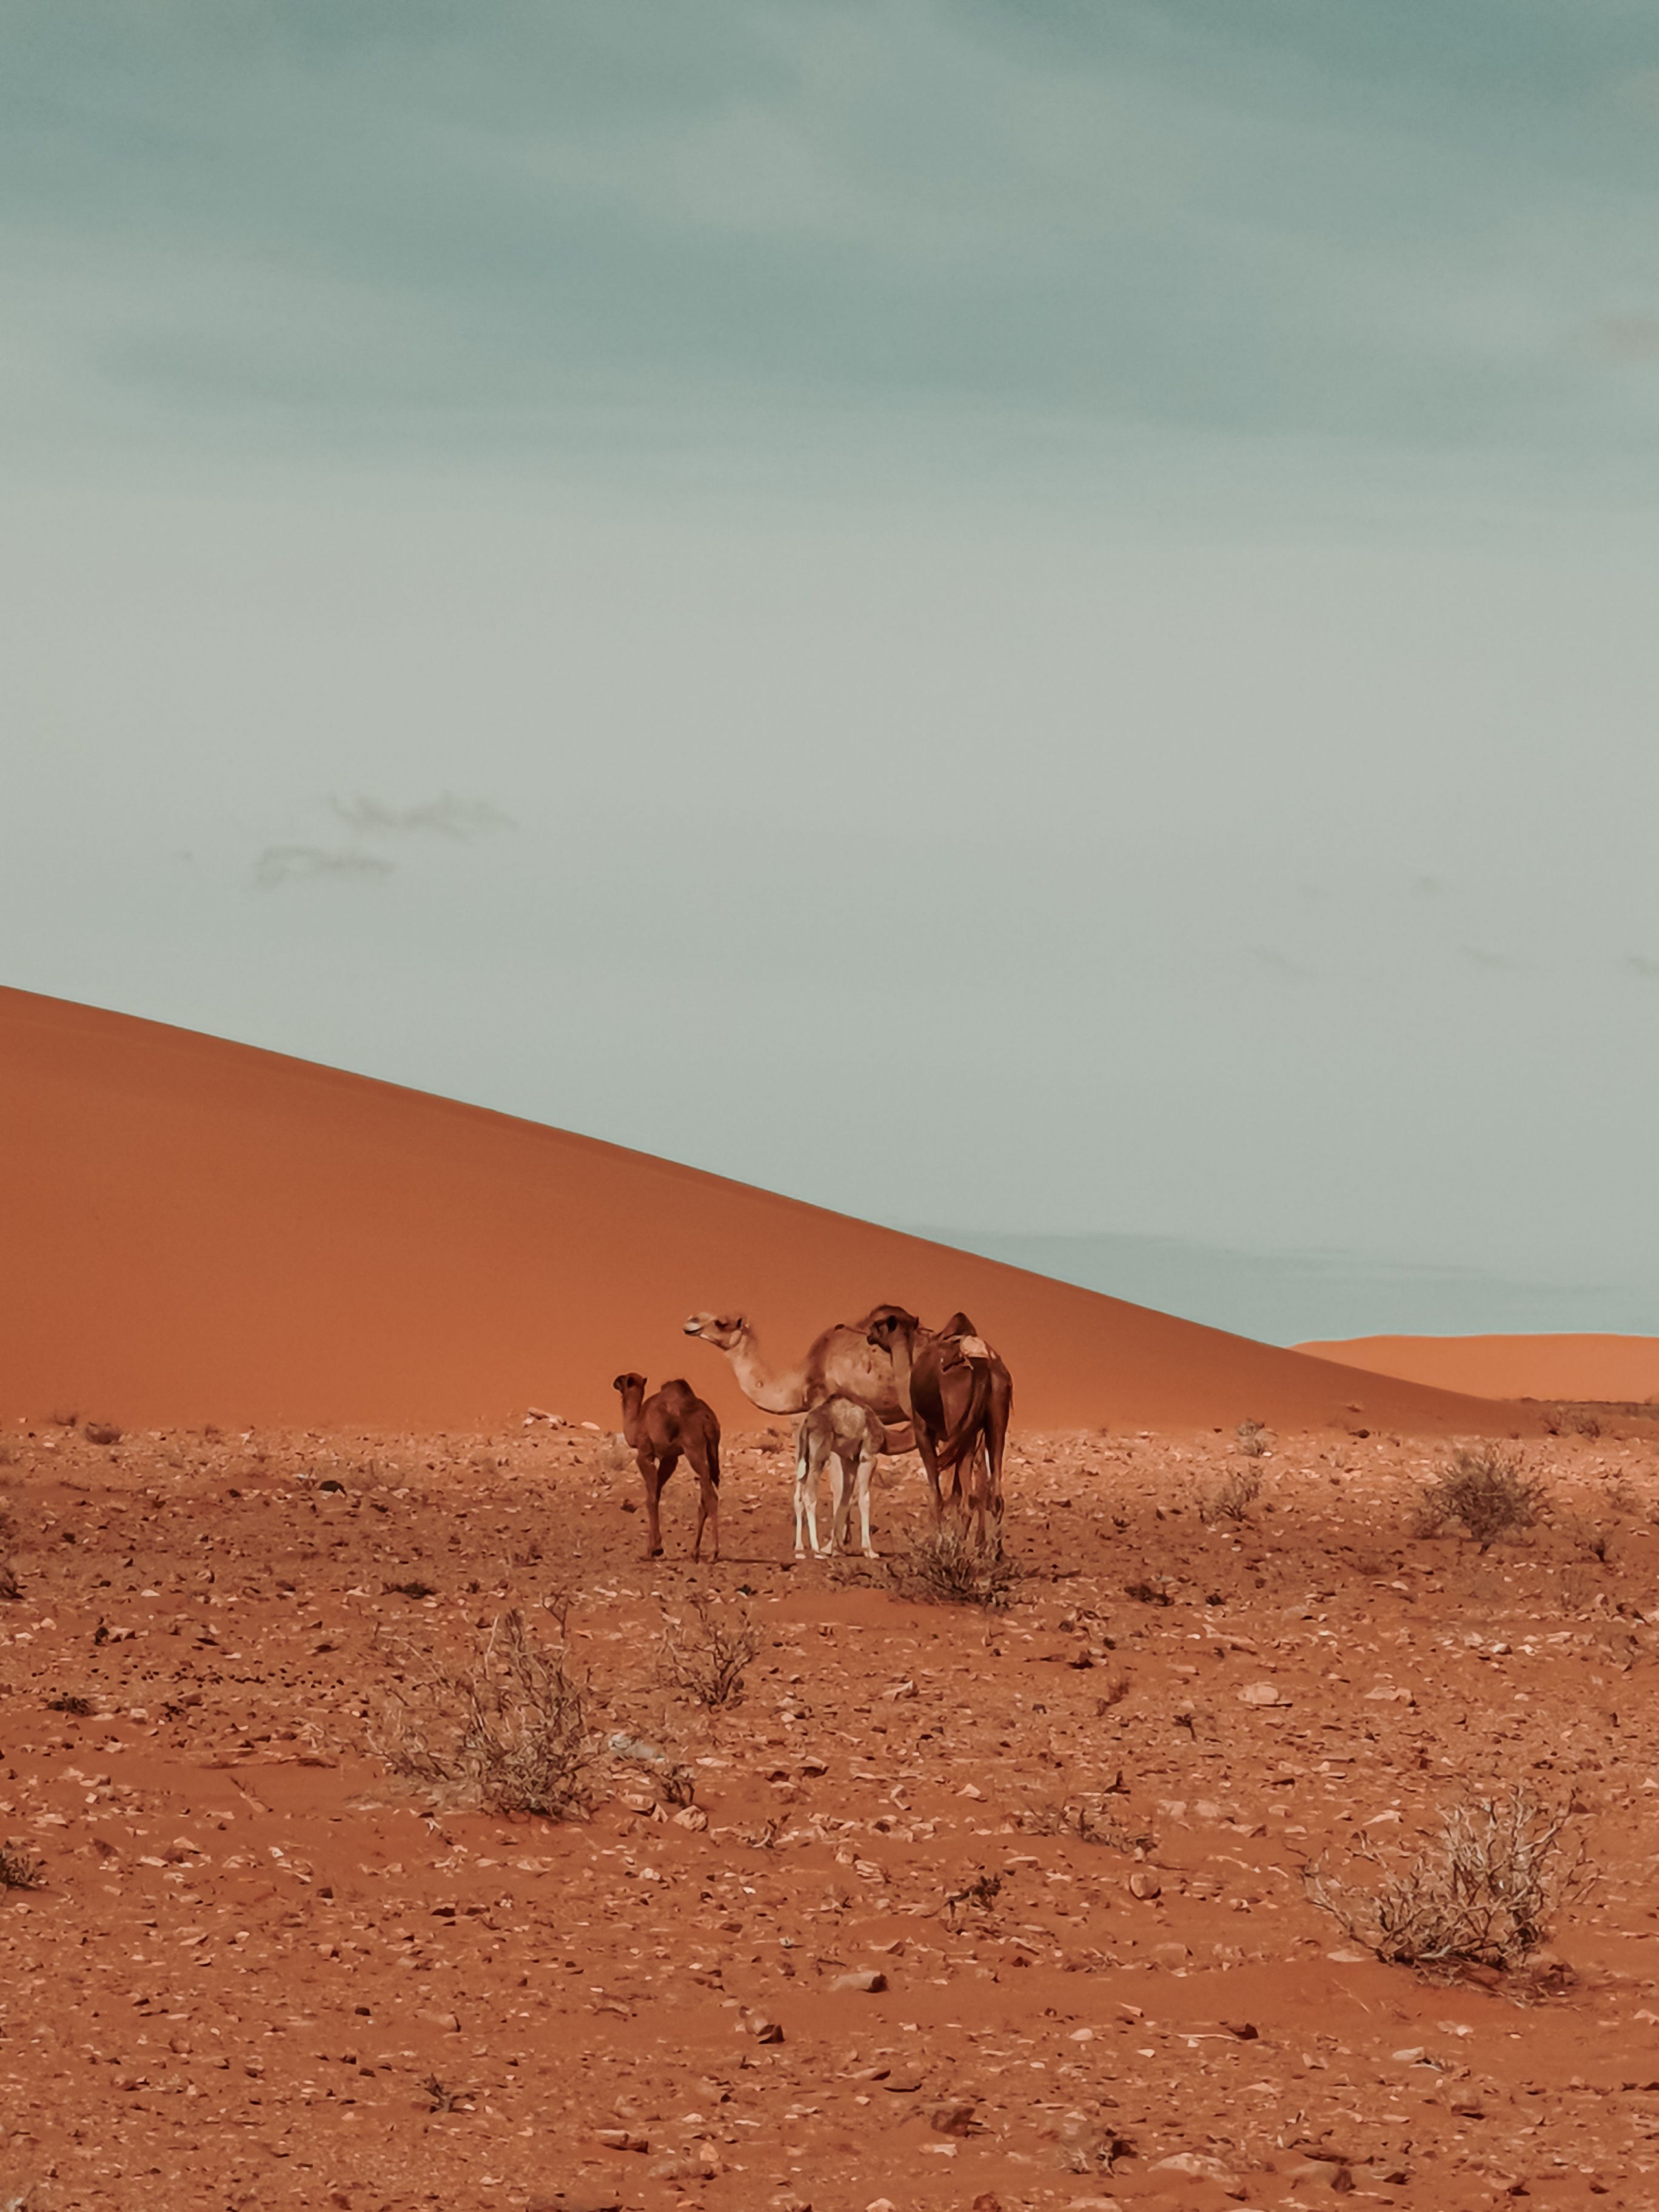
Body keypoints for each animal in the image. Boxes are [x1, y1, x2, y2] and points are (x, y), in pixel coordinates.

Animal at [612, 1373, 721, 1563]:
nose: (614, 1382)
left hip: (694, 1449)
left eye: (623, 1379)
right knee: (704, 1496)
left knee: (711, 1497)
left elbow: (650, 1499)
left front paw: (653, 1551)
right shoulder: (670, 1458)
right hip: (711, 1449)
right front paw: (654, 1548)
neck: (637, 1422)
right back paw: (695, 1552)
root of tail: (708, 1420)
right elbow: (656, 1494)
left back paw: (714, 1553)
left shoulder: (645, 1453)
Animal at [793, 1395, 887, 1561]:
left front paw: (837, 1548)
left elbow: (845, 1498)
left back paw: (799, 1550)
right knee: (809, 1496)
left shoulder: (849, 1459)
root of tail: (806, 1425)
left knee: (798, 1497)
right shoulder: (867, 1457)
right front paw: (870, 1551)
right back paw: (817, 1551)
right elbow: (863, 1499)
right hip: (818, 1458)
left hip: (802, 1459)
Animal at [864, 1306, 1012, 1542]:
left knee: (966, 1500)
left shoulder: (925, 1431)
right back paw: (989, 1548)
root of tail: (983, 1366)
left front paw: (938, 1540)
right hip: (996, 1416)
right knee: (994, 1493)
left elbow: (937, 1496)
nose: (868, 1335)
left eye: (878, 1324)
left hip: (959, 1424)